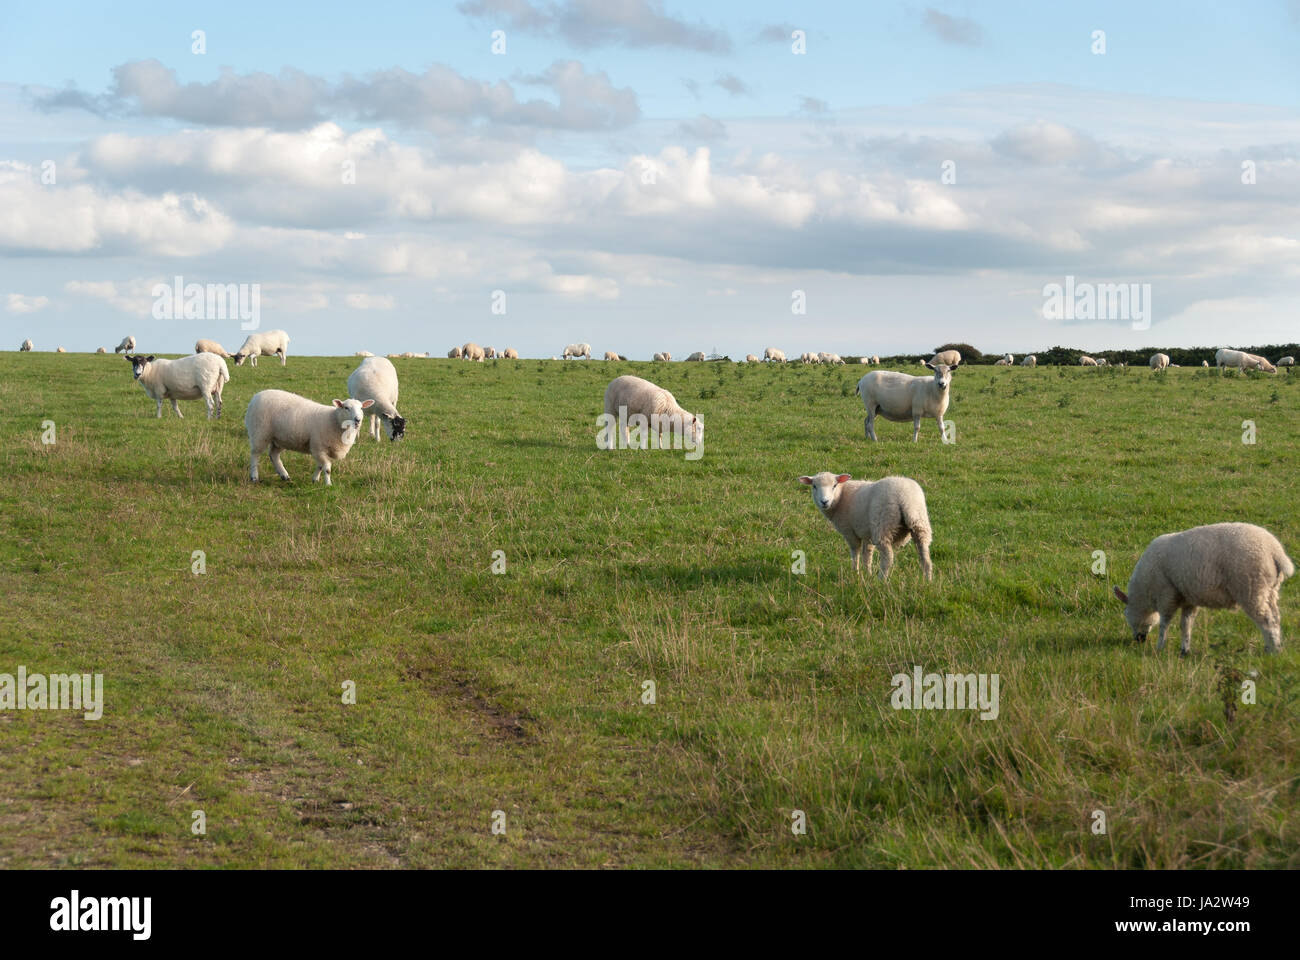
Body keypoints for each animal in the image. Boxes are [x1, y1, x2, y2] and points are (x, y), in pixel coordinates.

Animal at [797, 472, 933, 580]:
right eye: (814, 486)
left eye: (834, 485)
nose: (824, 502)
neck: (840, 497)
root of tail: (905, 499)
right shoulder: (867, 533)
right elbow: (867, 555)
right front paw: (867, 573)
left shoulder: (849, 531)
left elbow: (855, 552)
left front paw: (855, 572)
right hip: (920, 525)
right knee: (925, 557)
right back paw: (927, 581)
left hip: (882, 526)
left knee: (888, 558)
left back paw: (881, 580)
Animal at [1113, 522, 1293, 655]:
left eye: (1125, 614)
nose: (1139, 640)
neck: (1145, 591)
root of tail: (1275, 551)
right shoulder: (1188, 597)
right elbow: (1186, 624)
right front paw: (1184, 650)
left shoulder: (1166, 594)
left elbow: (1165, 623)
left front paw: (1160, 646)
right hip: (1269, 590)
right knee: (1276, 618)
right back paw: (1277, 647)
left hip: (1252, 588)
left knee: (1267, 621)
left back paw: (1272, 651)